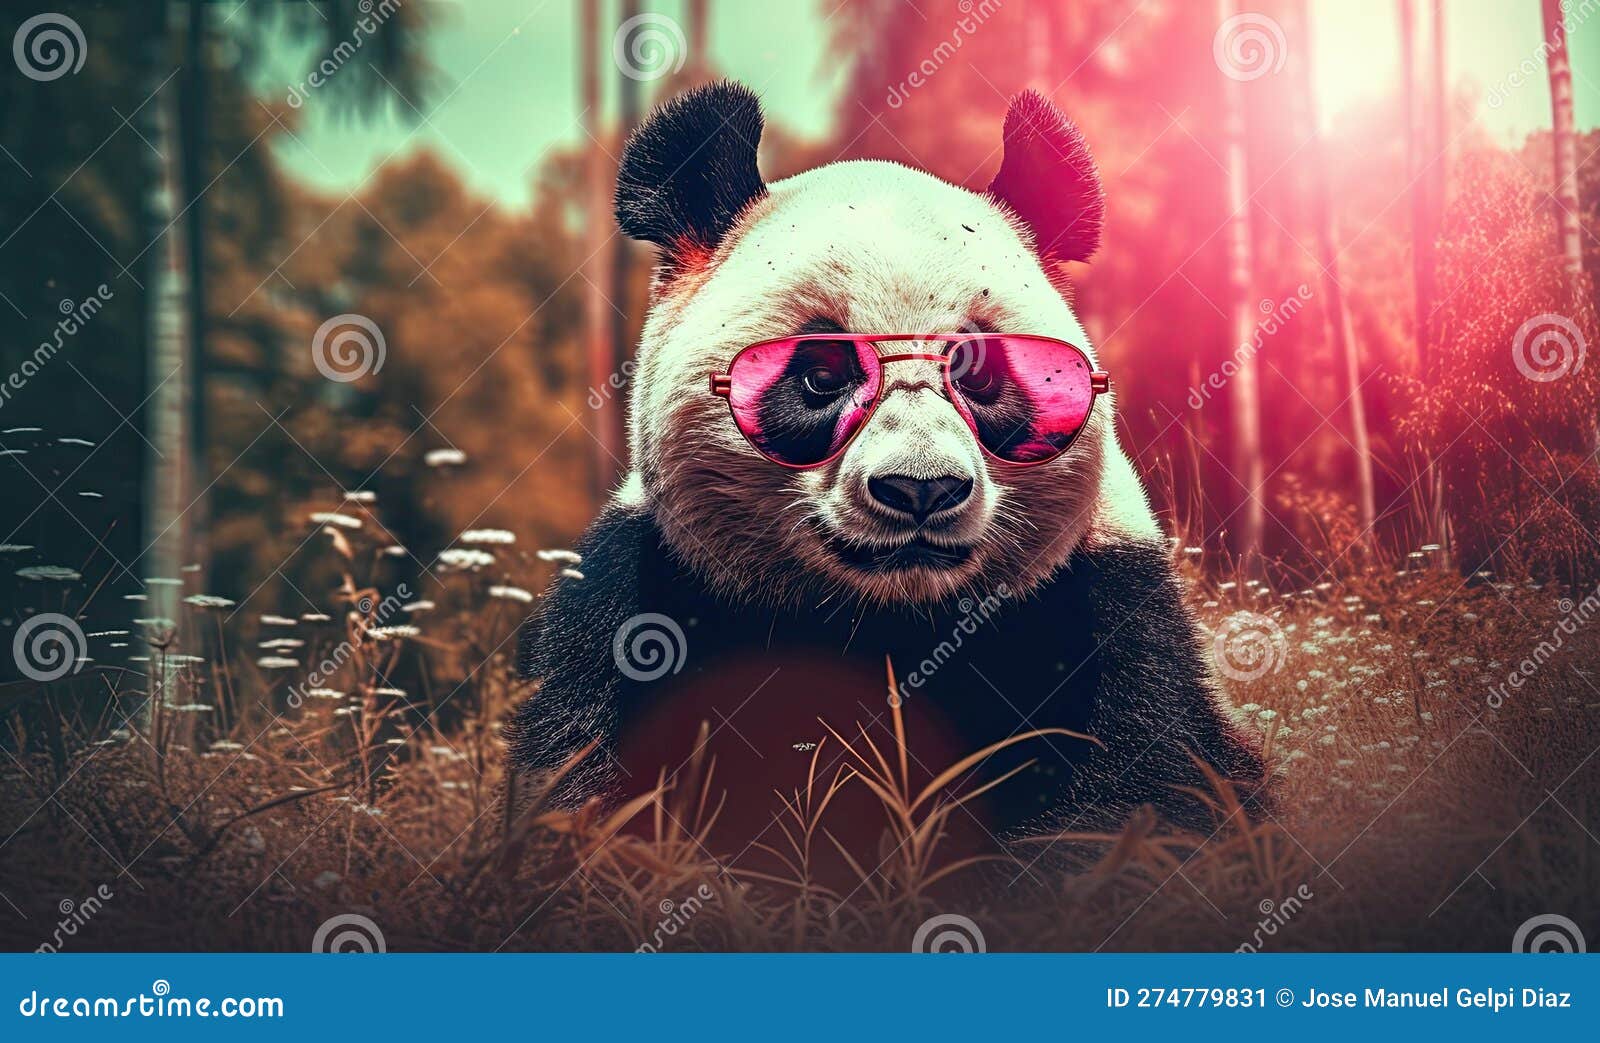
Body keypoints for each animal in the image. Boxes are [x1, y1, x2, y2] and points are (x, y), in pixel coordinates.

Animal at [512, 81, 1265, 852]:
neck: (890, 619)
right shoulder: (645, 593)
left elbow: (1135, 790)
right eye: (821, 376)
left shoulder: (1100, 606)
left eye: (979, 375)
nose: (921, 489)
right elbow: (590, 781)